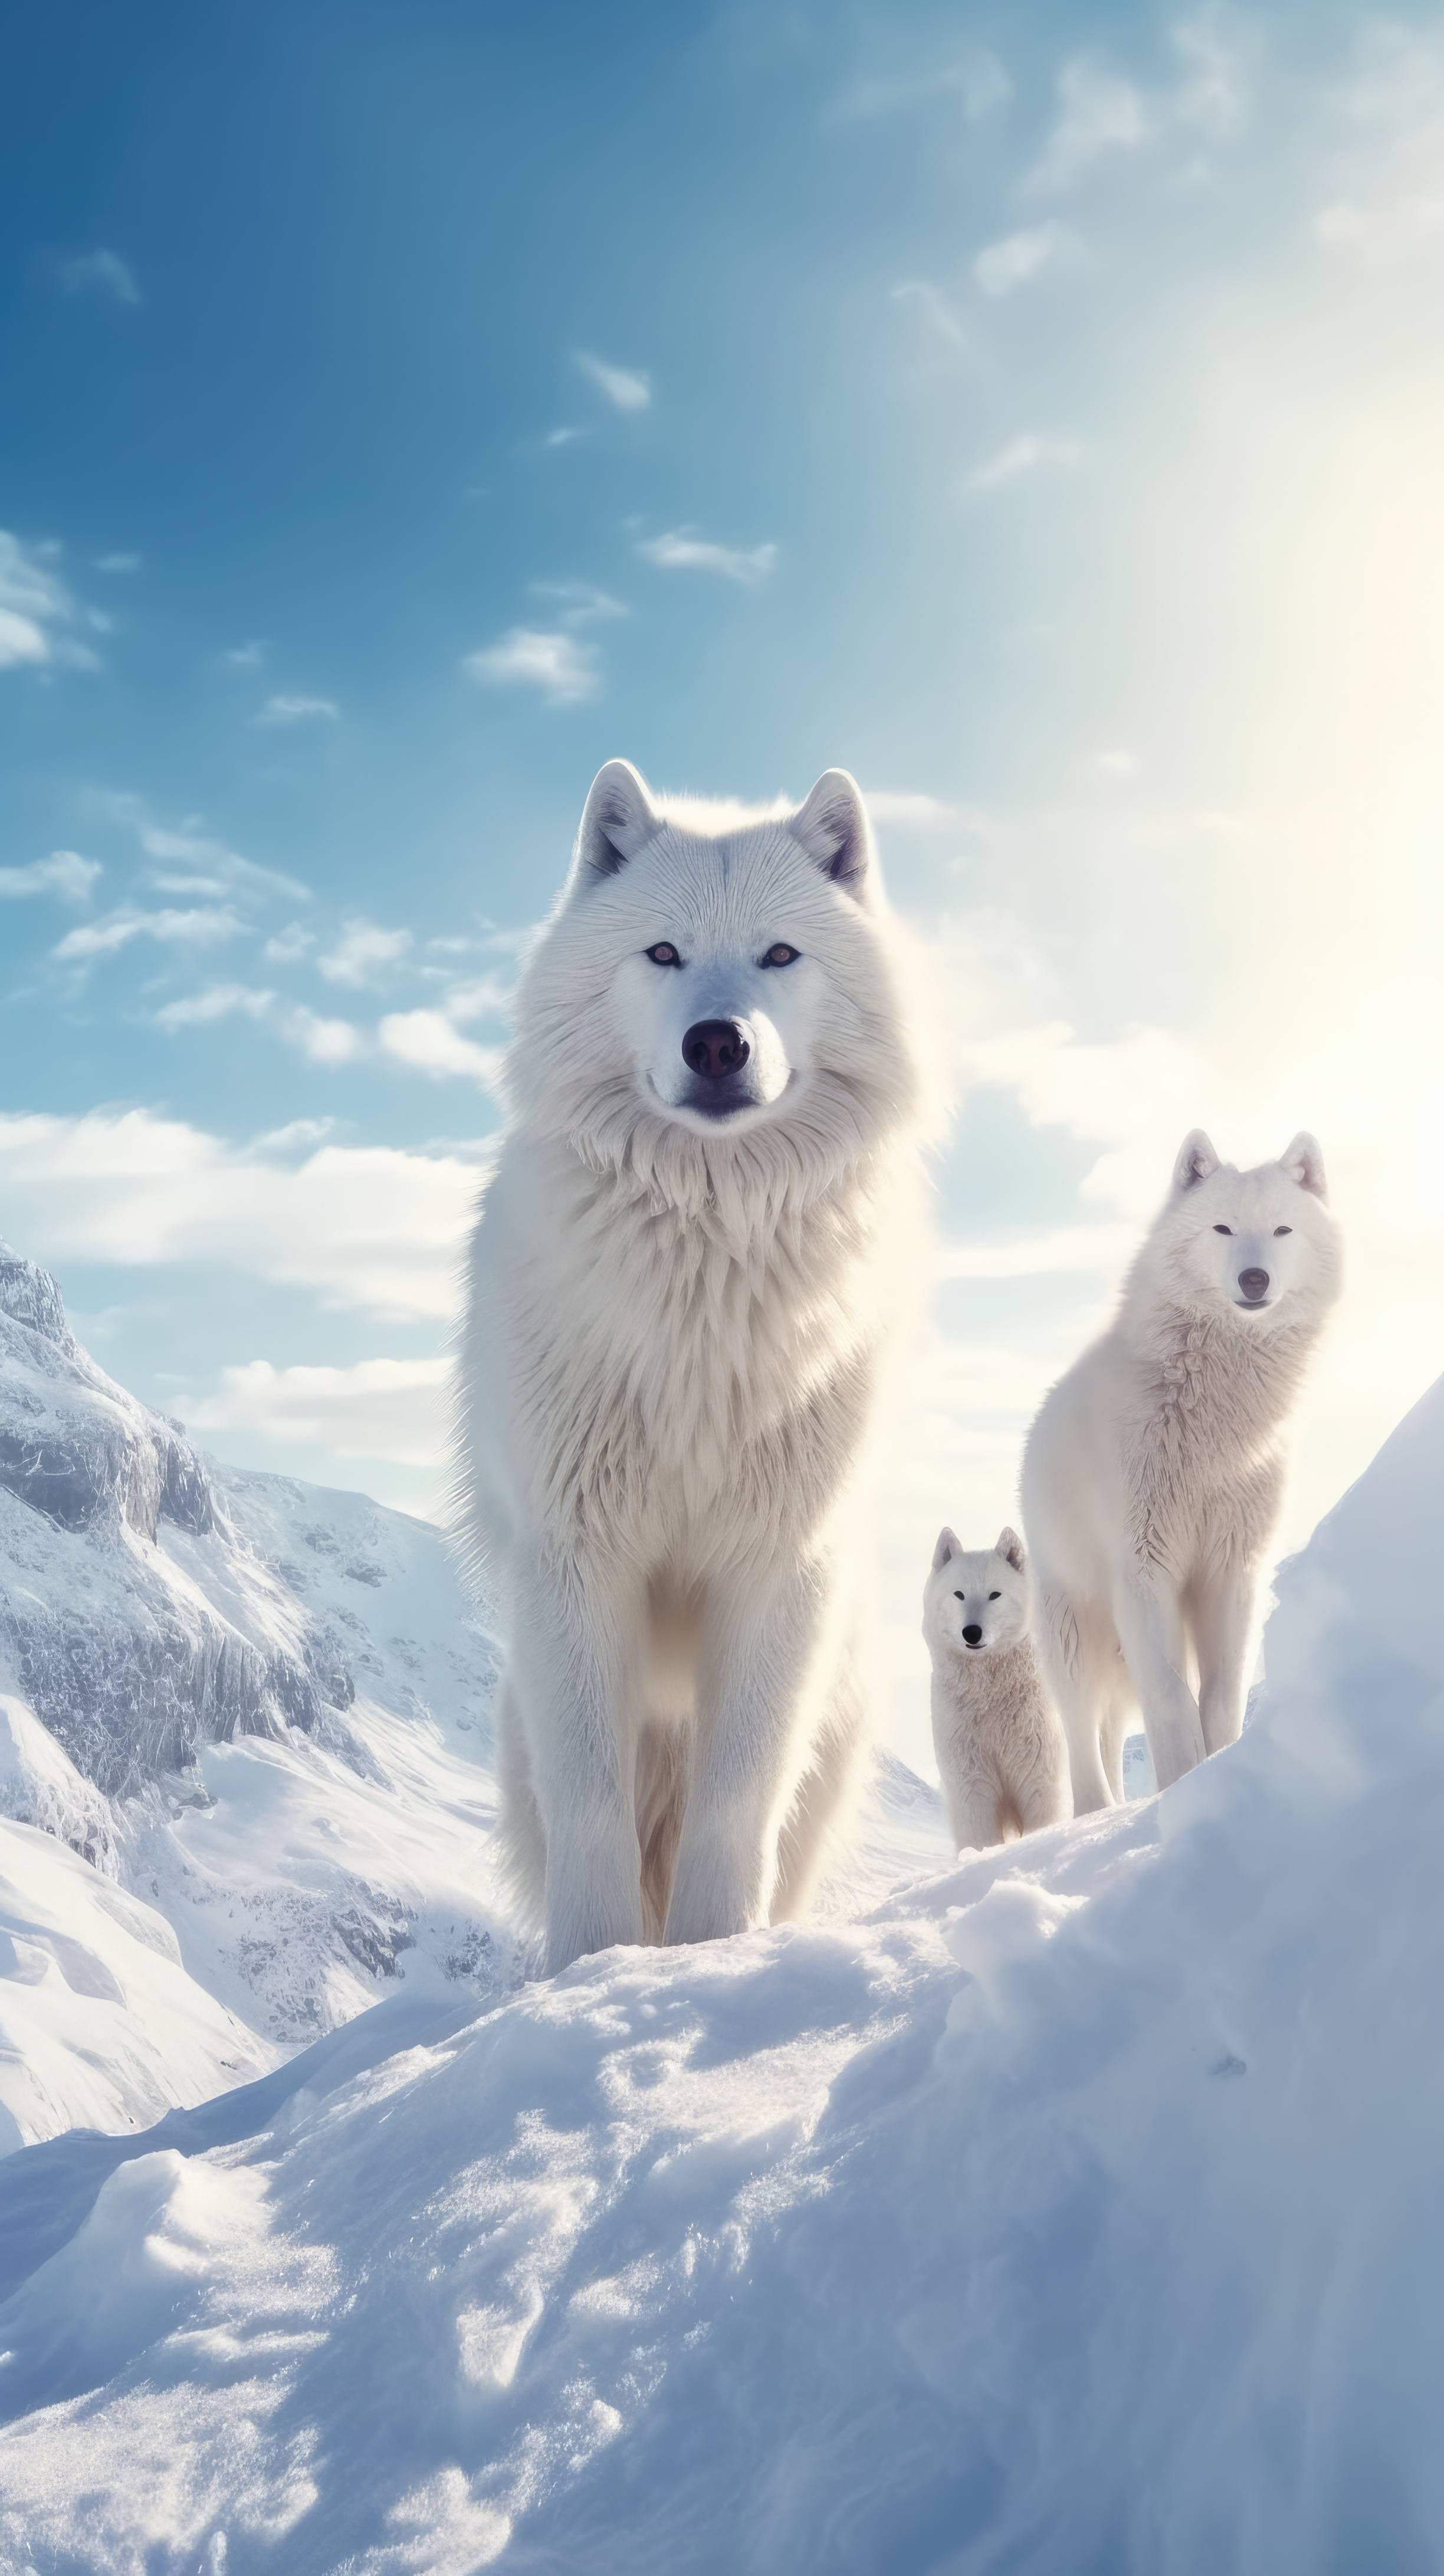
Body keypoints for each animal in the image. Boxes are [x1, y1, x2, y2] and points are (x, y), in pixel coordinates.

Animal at [458, 760, 929, 1974]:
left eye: (780, 954)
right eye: (663, 954)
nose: (718, 1042)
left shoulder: (775, 1573)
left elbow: (735, 1807)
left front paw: (714, 1955)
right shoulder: (580, 1569)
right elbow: (593, 1817)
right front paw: (585, 1973)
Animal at [923, 1525, 1070, 1851]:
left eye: (995, 1595)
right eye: (959, 1594)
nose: (972, 1632)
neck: (990, 1697)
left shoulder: (1037, 1762)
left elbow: (1045, 1808)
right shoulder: (969, 1771)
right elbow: (977, 1827)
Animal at [1021, 1131, 1343, 1810]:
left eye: (1283, 1230)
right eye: (1222, 1229)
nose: (1254, 1277)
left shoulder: (1233, 1573)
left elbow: (1220, 1699)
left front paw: (1213, 1781)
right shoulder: (1145, 1571)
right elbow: (1172, 1701)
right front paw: (1179, 1790)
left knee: (1113, 1732)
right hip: (1071, 1642)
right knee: (1084, 1743)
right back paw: (1100, 1812)